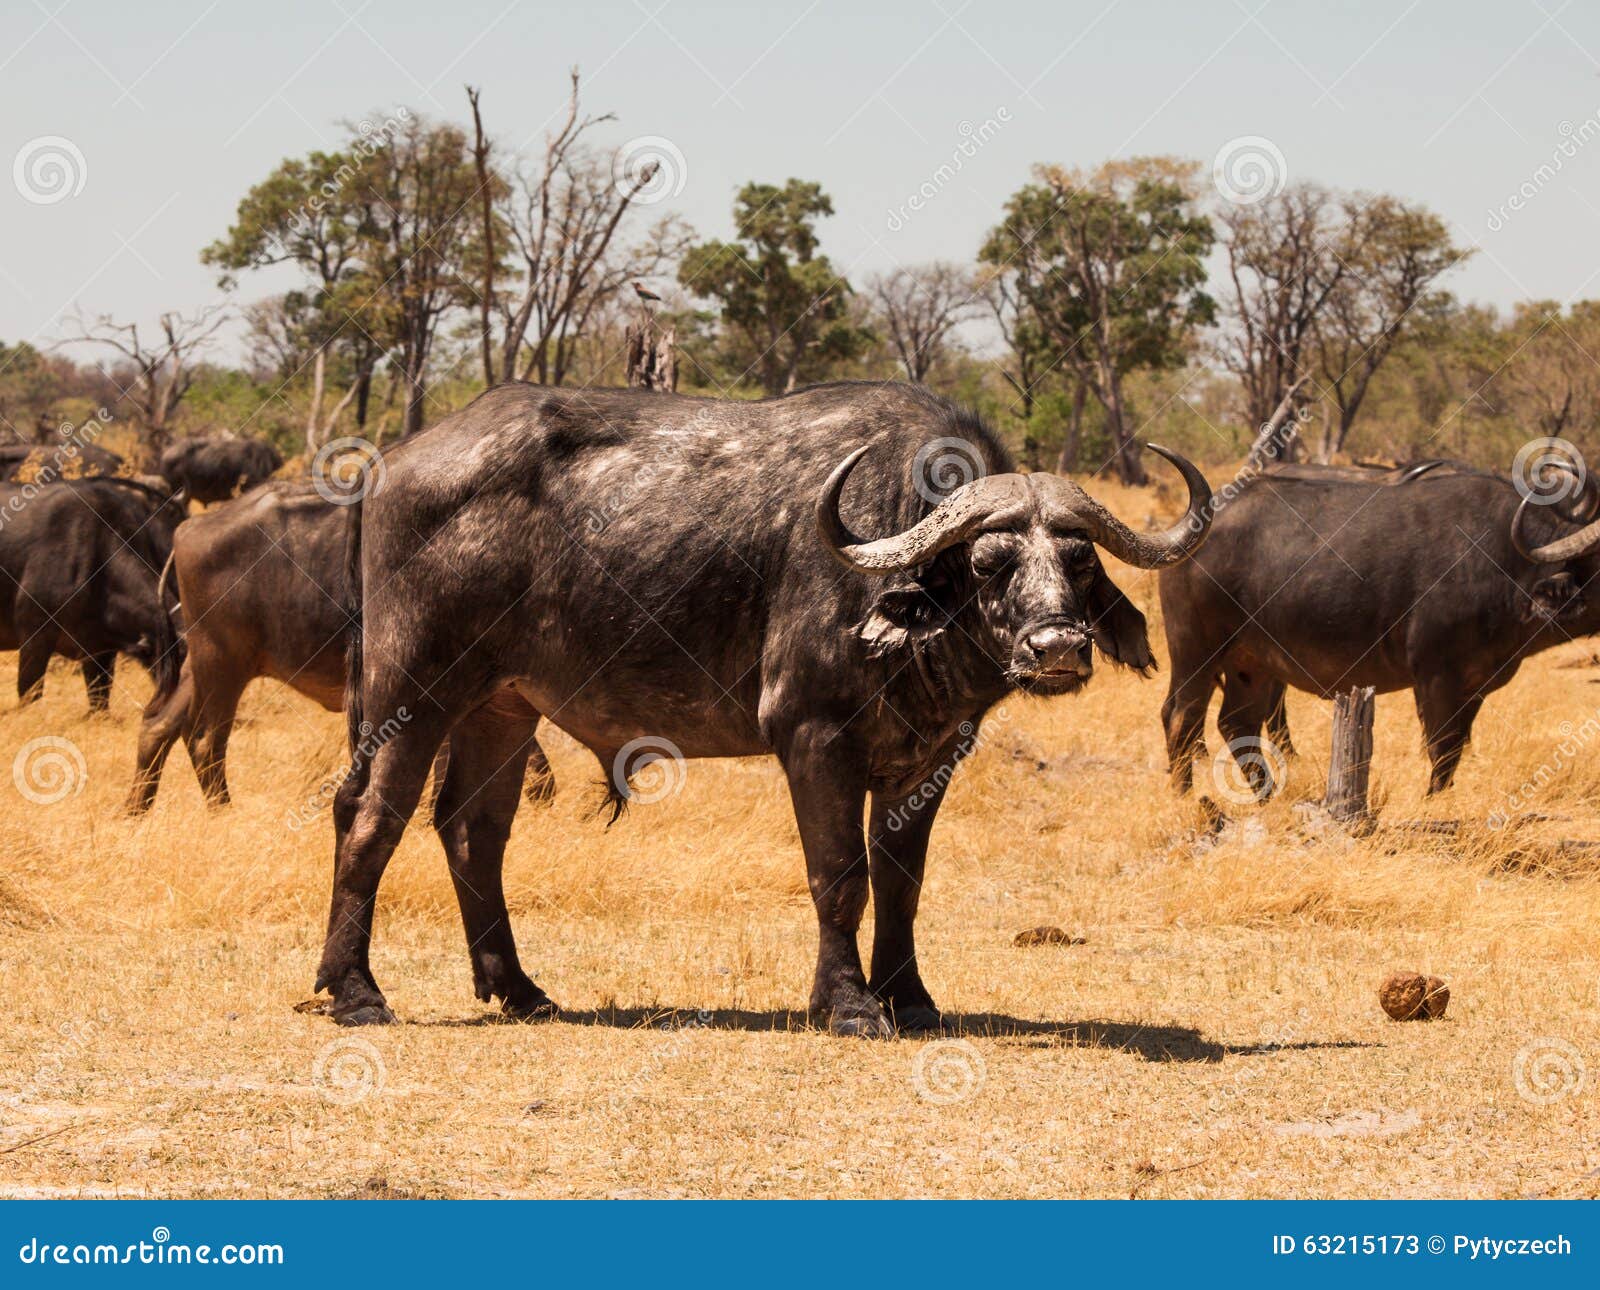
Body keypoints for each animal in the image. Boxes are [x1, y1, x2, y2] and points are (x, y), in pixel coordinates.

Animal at [128, 480, 557, 812]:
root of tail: (190, 527)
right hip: (222, 662)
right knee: (204, 739)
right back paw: (223, 811)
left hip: (201, 663)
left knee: (158, 725)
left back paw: (136, 810)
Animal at [312, 381, 1211, 1031]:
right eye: (989, 563)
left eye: (1078, 560)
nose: (1058, 647)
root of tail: (388, 468)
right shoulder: (814, 738)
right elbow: (839, 874)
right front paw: (848, 1005)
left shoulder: (931, 754)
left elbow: (903, 876)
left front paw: (910, 996)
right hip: (411, 690)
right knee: (368, 816)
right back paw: (355, 992)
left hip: (500, 706)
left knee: (472, 829)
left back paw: (520, 989)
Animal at [1160, 464, 1600, 797]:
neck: (1508, 567)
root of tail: (1187, 533)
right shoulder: (1435, 679)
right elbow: (1442, 750)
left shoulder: (1475, 688)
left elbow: (1458, 747)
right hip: (1195, 654)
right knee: (1182, 717)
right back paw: (1186, 795)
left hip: (1251, 665)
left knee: (1236, 723)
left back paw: (1267, 794)